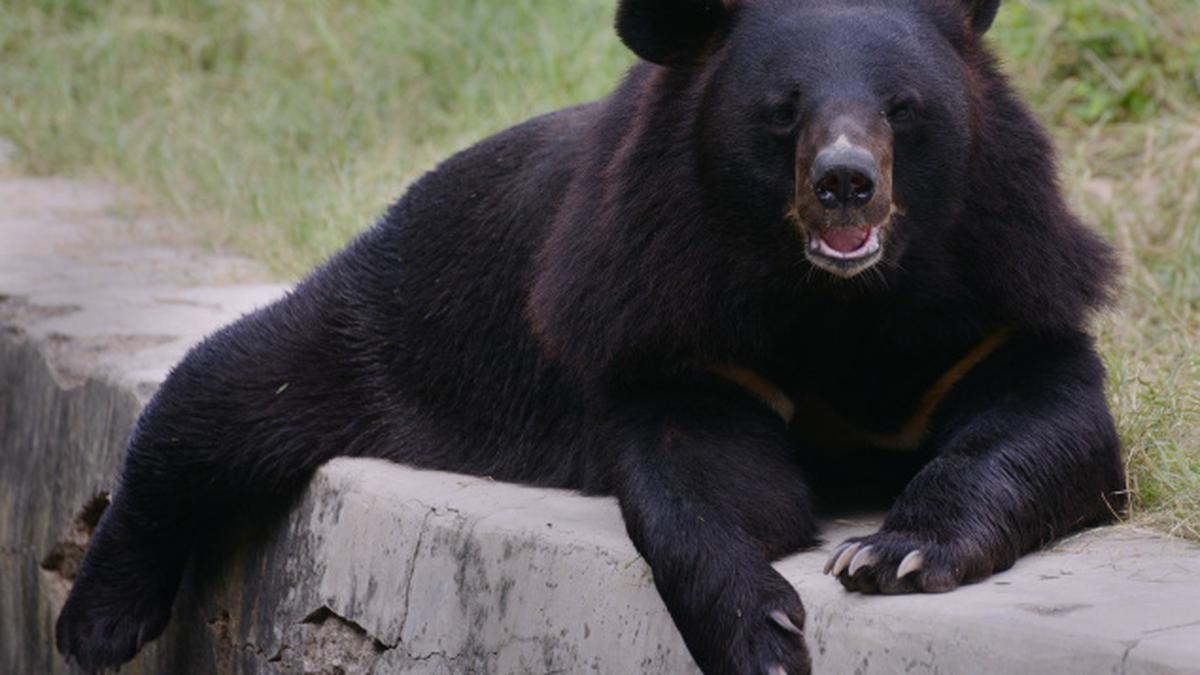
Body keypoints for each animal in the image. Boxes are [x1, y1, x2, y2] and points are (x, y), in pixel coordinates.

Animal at [55, 0, 1125, 673]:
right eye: (783, 111)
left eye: (904, 108)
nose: (846, 184)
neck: (836, 299)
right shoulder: (670, 321)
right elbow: (694, 477)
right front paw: (765, 631)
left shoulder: (992, 294)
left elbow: (1044, 424)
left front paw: (892, 555)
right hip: (387, 325)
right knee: (223, 395)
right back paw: (94, 622)